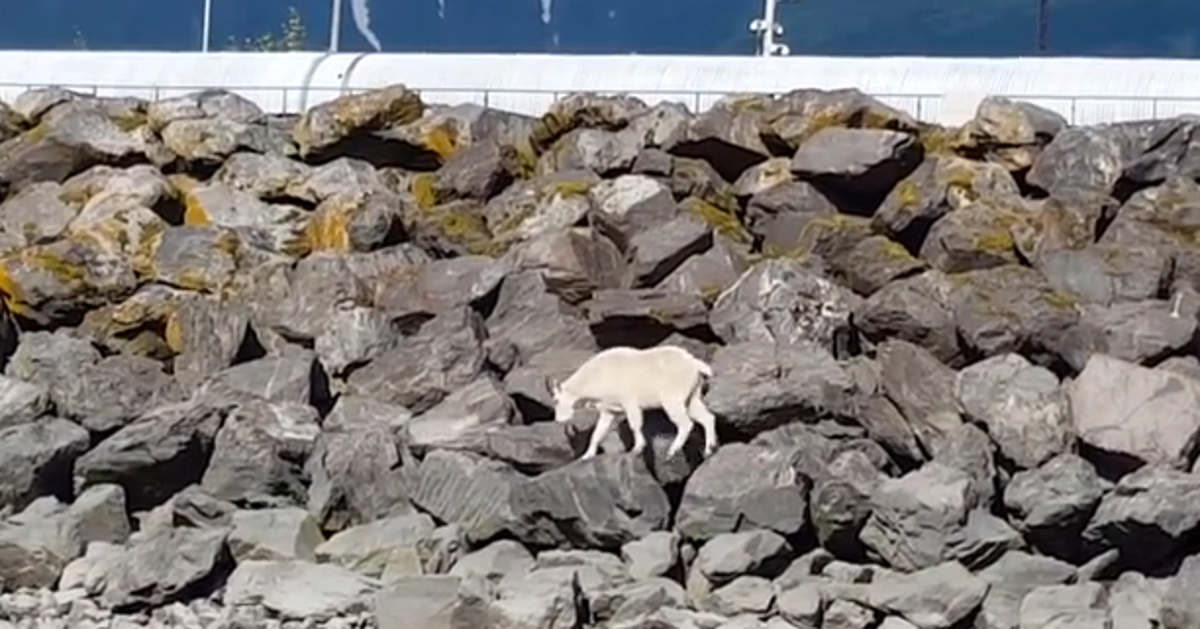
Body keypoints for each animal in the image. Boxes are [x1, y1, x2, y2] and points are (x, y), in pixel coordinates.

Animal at [548, 345, 717, 461]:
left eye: (556, 400)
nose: (559, 419)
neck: (596, 375)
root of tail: (694, 364)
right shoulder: (608, 410)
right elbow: (597, 433)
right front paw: (586, 456)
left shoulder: (629, 402)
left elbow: (634, 425)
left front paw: (637, 448)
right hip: (693, 396)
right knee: (707, 418)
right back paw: (709, 449)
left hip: (672, 397)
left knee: (685, 423)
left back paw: (672, 451)